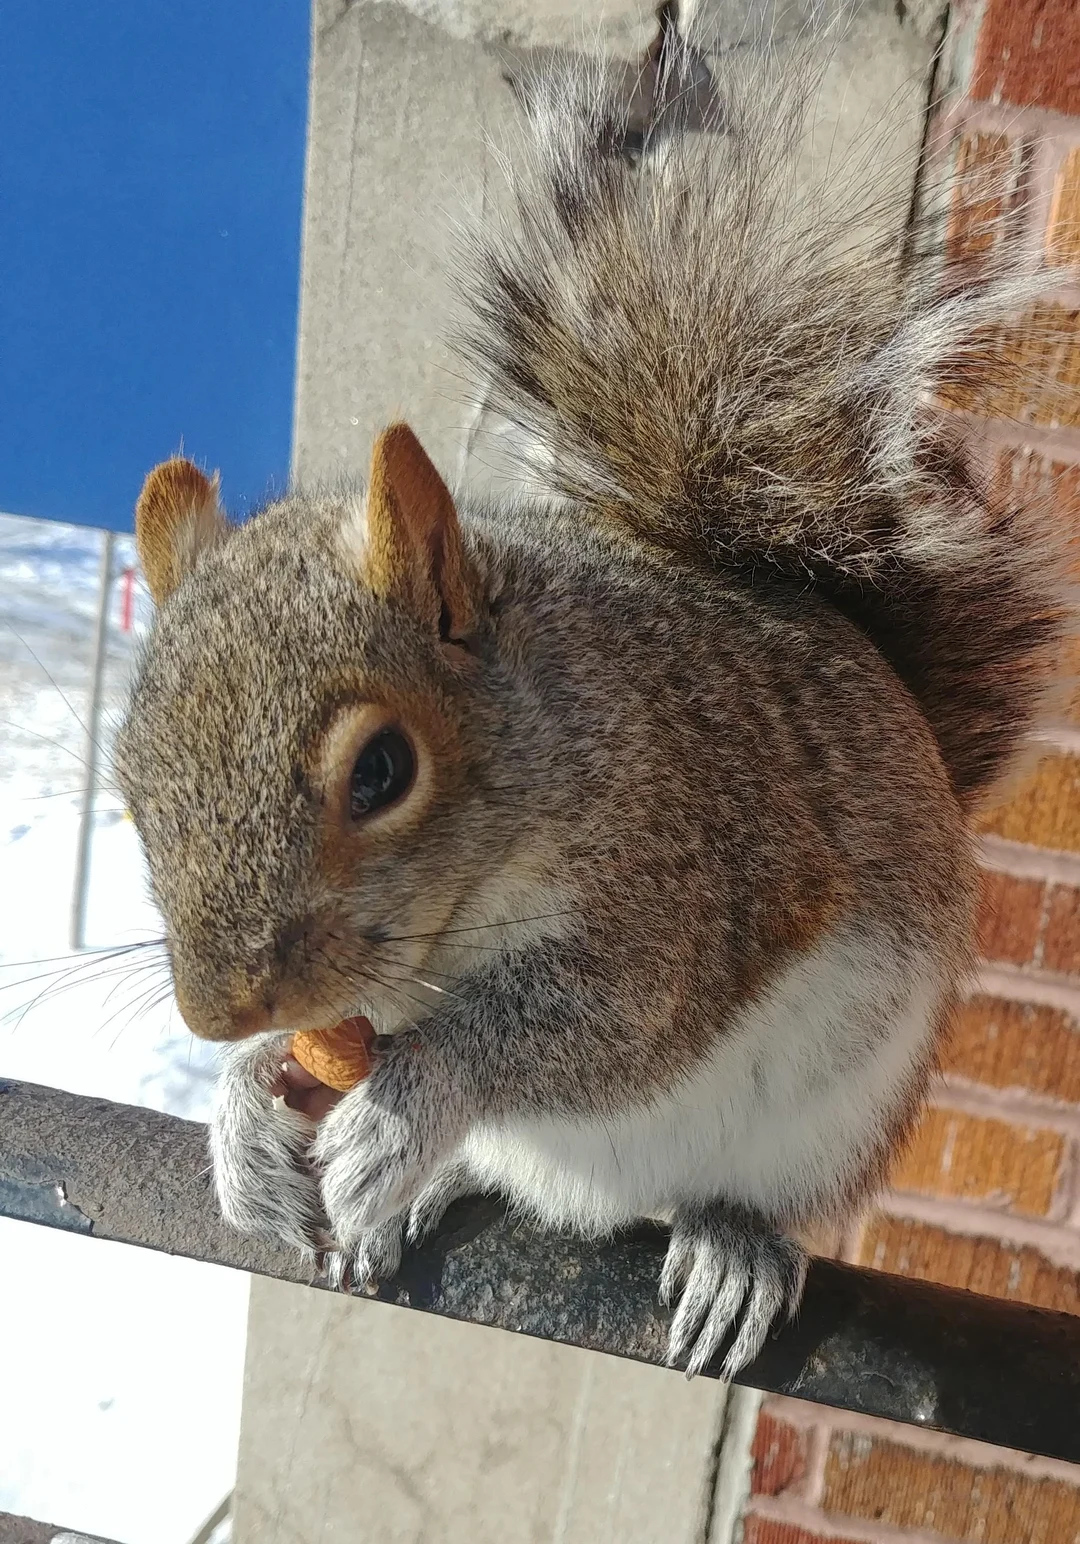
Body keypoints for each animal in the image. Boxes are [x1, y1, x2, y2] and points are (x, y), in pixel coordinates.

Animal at [114, 32, 1070, 1378]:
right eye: (130, 787)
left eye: (380, 771)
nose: (216, 1010)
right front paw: (248, 1100)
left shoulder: (685, 869)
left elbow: (601, 1021)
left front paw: (409, 1095)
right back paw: (423, 1186)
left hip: (839, 1111)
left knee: (745, 1191)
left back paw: (728, 1246)